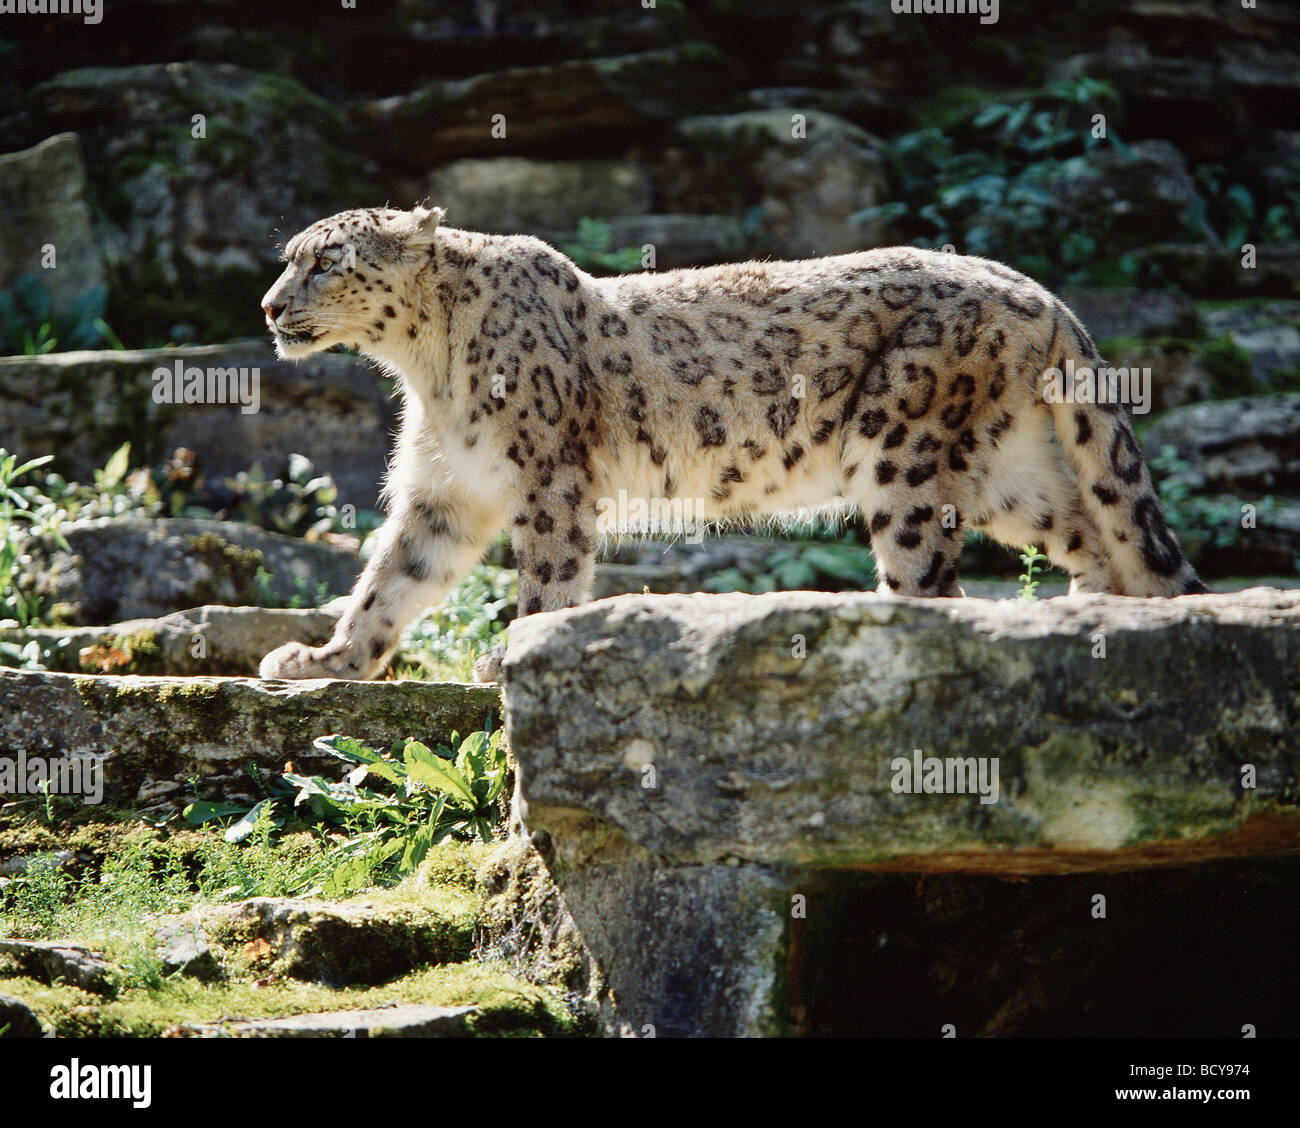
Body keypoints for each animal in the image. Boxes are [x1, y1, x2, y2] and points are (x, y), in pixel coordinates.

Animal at [256, 204, 1205, 683]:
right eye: (290, 255)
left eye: (326, 262)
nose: (268, 306)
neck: (425, 366)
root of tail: (1036, 292)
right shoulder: (445, 493)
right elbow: (390, 582)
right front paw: (326, 658)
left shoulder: (547, 479)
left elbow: (548, 578)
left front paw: (512, 655)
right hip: (1010, 469)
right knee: (1094, 531)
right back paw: (1085, 619)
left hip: (902, 449)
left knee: (936, 583)